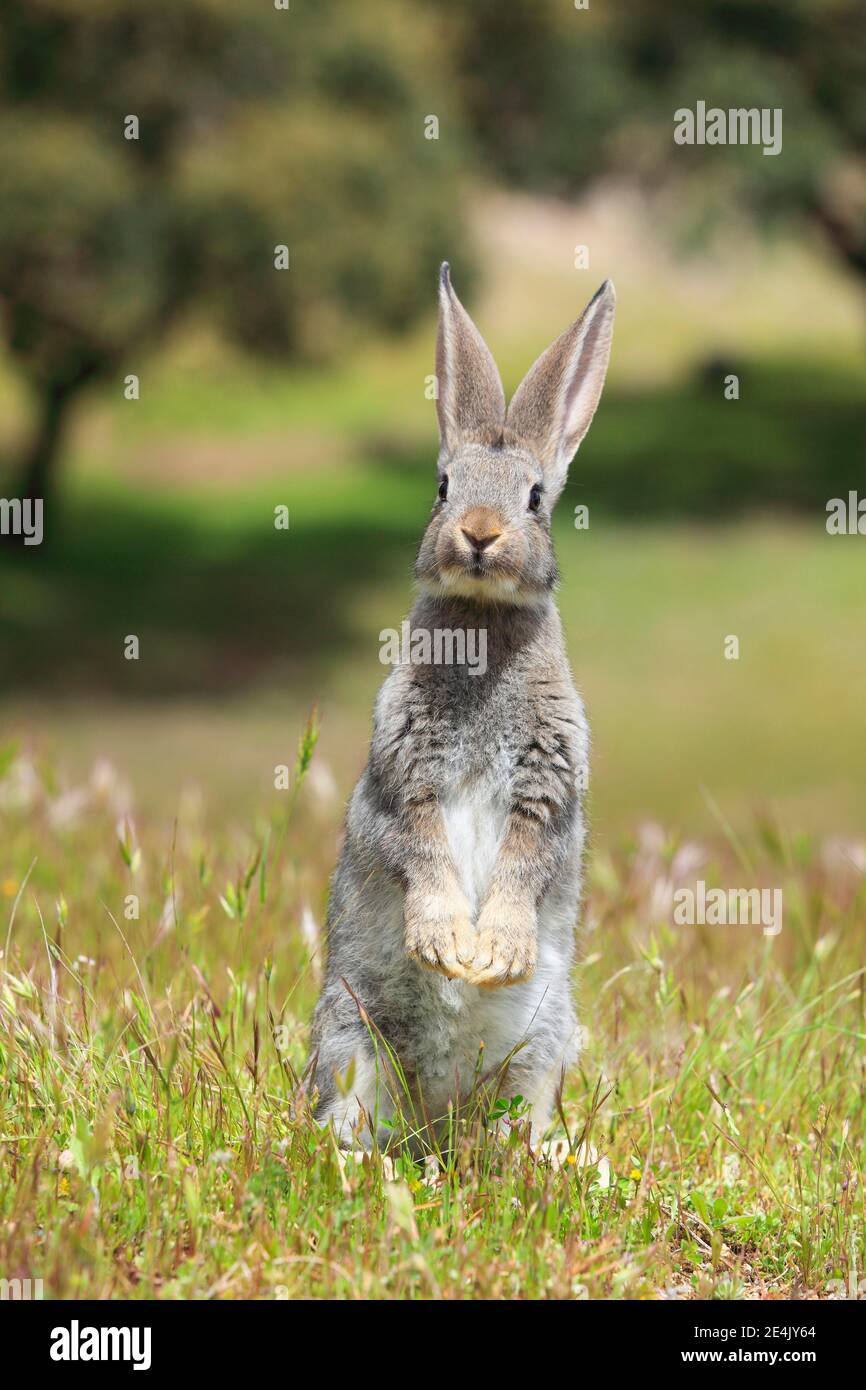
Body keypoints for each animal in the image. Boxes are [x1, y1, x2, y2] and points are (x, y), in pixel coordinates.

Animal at [309, 265, 615, 1150]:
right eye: (443, 487)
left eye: (536, 498)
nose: (479, 533)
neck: (481, 618)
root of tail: (438, 1117)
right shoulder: (402, 773)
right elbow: (417, 848)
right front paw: (448, 947)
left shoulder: (549, 785)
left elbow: (527, 861)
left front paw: (493, 954)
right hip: (350, 1030)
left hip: (543, 1041)